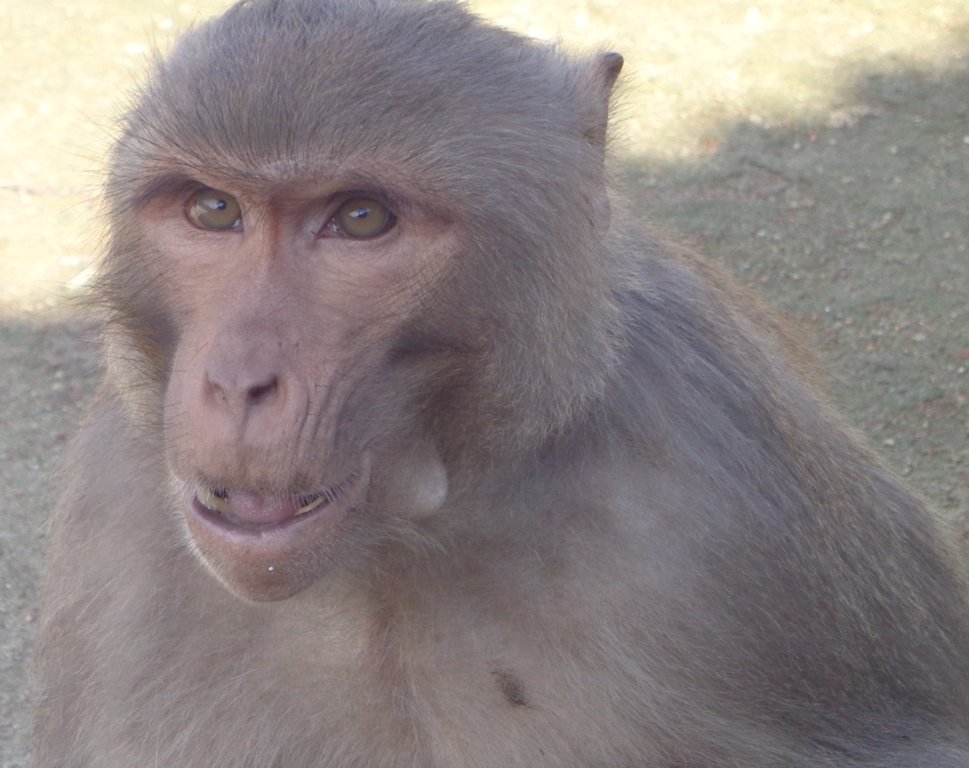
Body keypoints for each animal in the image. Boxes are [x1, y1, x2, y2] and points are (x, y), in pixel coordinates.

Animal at [32, 0, 969, 765]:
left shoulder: (733, 485)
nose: (238, 382)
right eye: (213, 211)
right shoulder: (117, 513)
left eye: (360, 219)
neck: (398, 547)